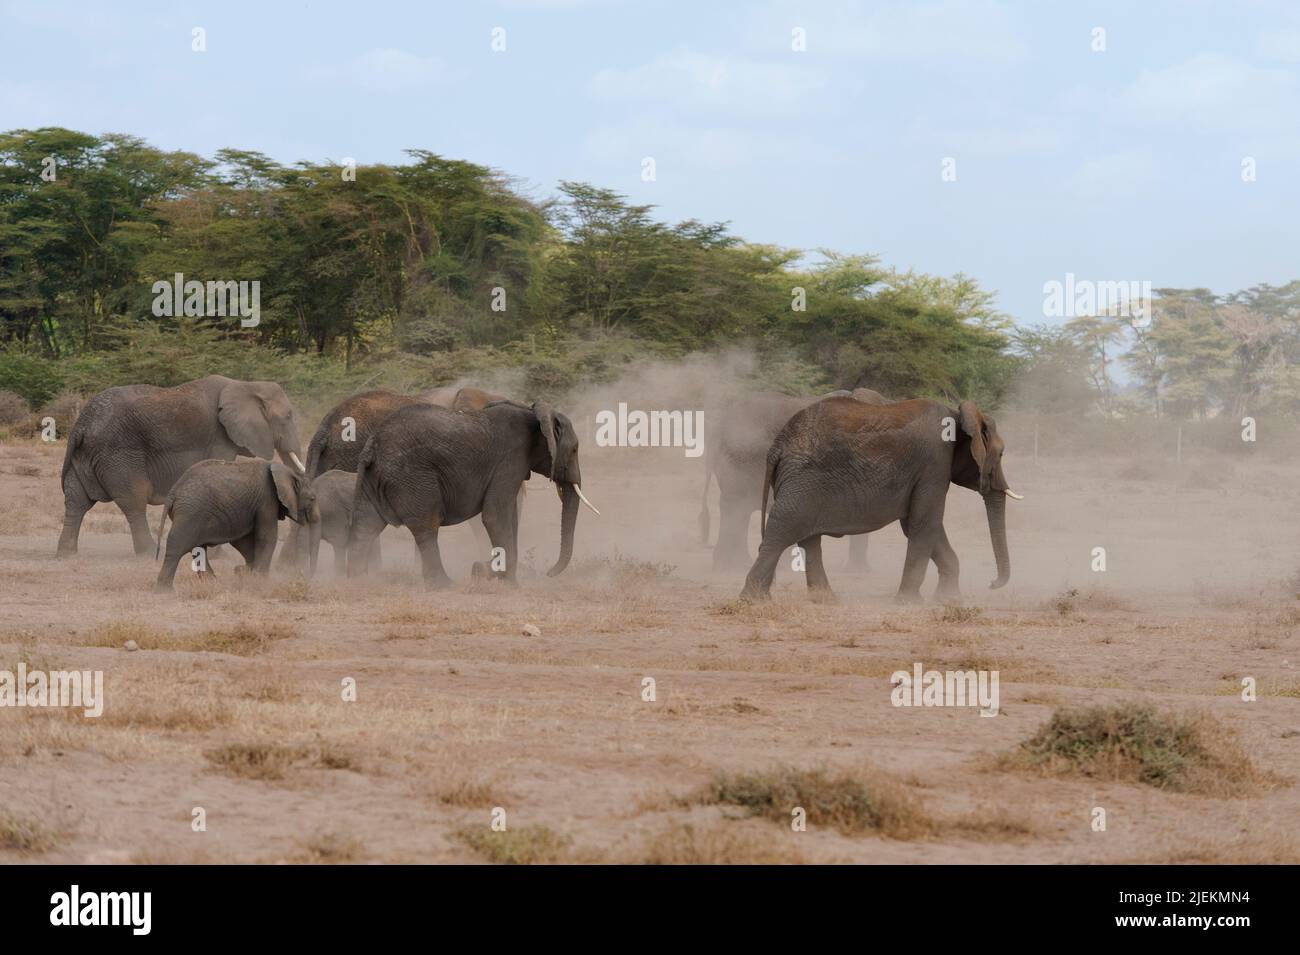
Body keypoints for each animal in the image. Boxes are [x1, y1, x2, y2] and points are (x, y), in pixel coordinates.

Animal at [57, 375, 305, 557]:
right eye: (288, 416)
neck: (245, 384)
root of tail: (81, 424)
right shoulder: (219, 438)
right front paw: (219, 556)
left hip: (87, 454)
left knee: (76, 502)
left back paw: (66, 554)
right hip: (117, 455)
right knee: (133, 501)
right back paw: (149, 554)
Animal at [153, 459, 319, 592]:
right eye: (312, 498)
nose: (307, 577)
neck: (287, 472)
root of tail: (173, 491)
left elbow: (242, 541)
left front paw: (243, 572)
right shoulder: (267, 500)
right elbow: (267, 537)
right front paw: (260, 581)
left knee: (197, 547)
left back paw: (213, 584)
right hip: (190, 512)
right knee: (178, 545)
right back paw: (165, 590)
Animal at [346, 400, 598, 588]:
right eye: (574, 449)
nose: (548, 573)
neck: (532, 413)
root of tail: (372, 446)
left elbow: (510, 517)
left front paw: (496, 575)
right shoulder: (510, 460)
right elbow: (495, 516)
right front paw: (504, 581)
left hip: (372, 477)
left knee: (365, 526)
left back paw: (357, 582)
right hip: (413, 478)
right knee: (427, 526)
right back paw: (444, 585)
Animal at [739, 396, 1021, 604]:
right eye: (1001, 454)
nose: (992, 583)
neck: (959, 415)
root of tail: (776, 446)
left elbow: (918, 524)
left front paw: (948, 599)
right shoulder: (934, 463)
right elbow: (923, 523)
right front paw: (909, 603)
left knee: (807, 538)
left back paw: (825, 600)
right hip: (801, 481)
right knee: (783, 530)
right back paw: (753, 601)